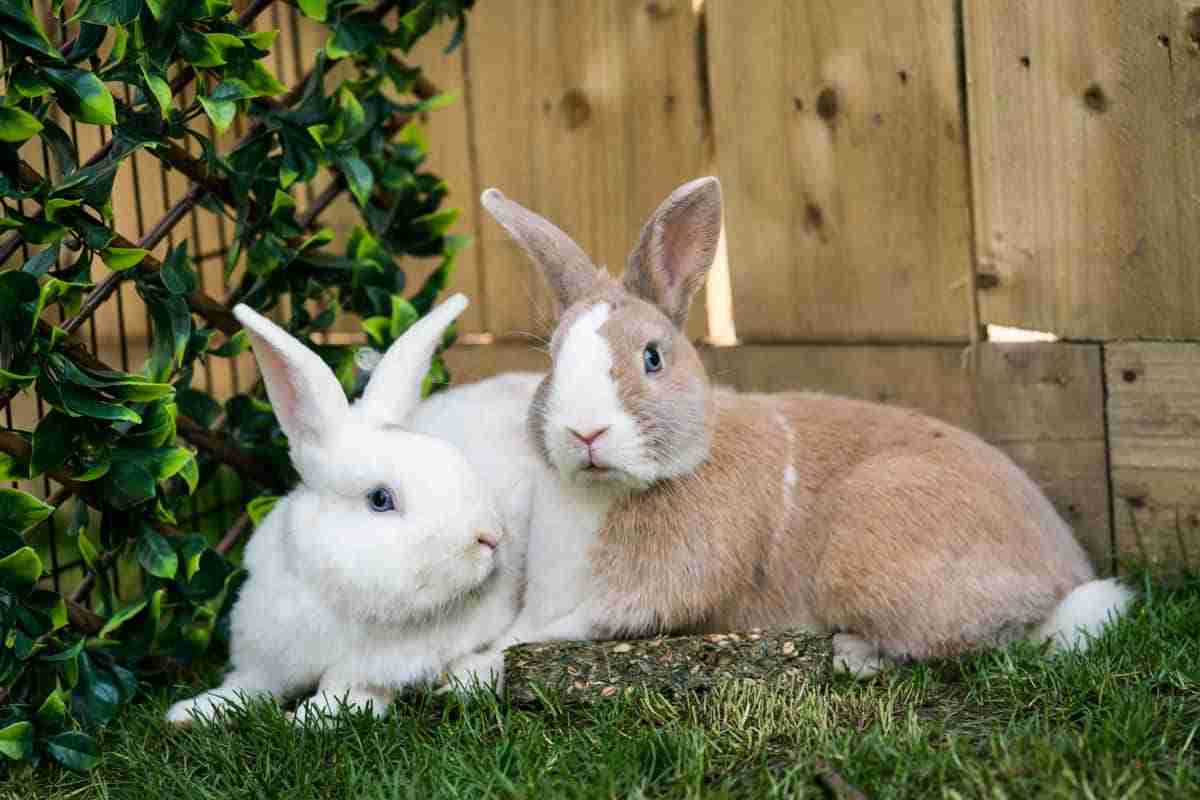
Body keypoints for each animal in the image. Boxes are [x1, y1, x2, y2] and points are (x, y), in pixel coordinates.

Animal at [165, 294, 524, 726]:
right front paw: (189, 712)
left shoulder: (369, 671)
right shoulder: (265, 656)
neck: (338, 597)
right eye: (380, 499)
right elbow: (245, 687)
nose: (489, 537)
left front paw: (305, 718)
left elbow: (345, 693)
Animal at [465, 176, 1134, 677]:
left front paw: (469, 669)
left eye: (652, 357)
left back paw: (852, 653)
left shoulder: (645, 595)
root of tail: (1063, 576)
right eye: (553, 359)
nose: (585, 433)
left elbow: (563, 630)